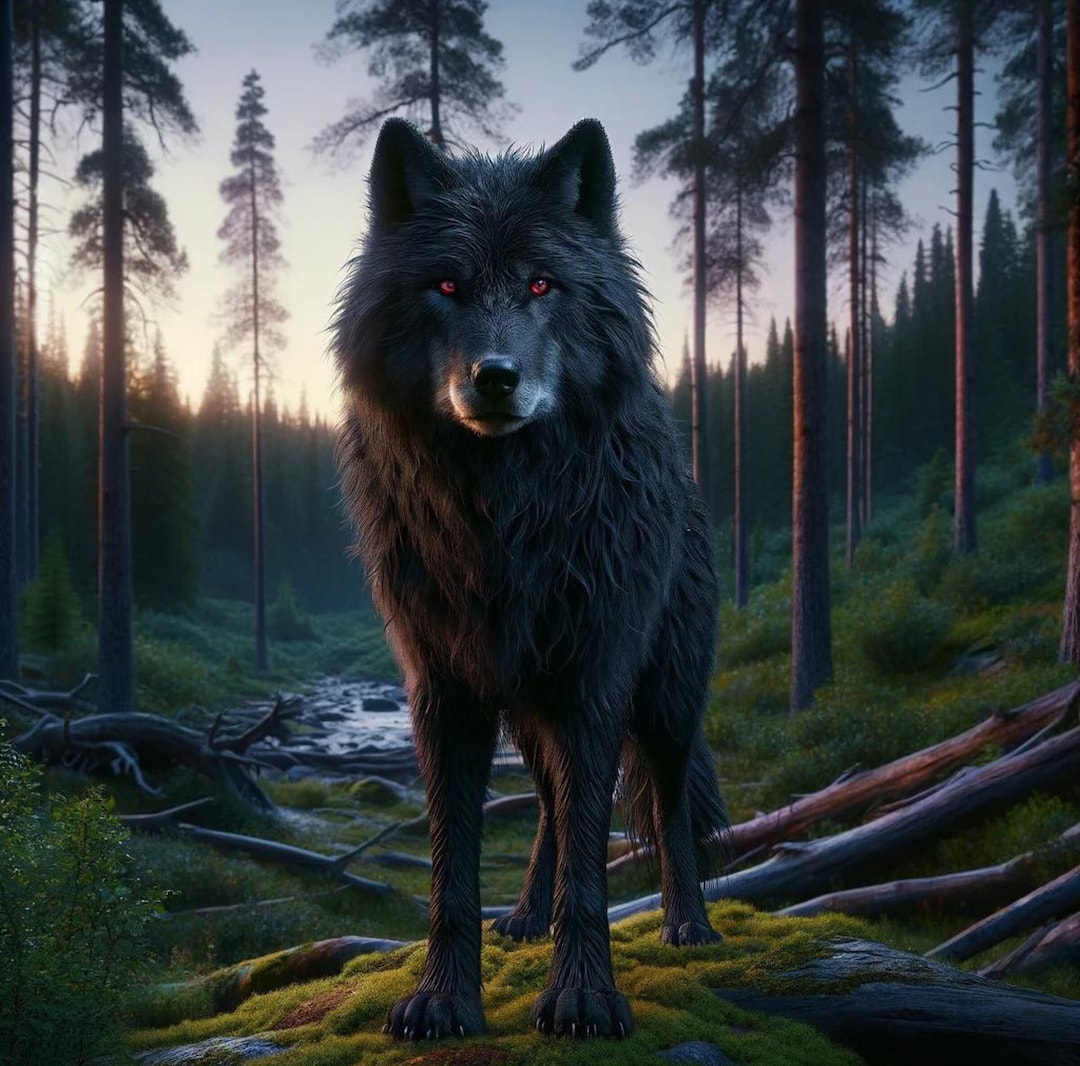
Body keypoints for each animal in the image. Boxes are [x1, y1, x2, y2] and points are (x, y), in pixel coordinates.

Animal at [333, 117, 727, 1041]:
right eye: (446, 285)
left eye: (543, 284)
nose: (495, 376)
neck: (500, 517)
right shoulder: (442, 688)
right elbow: (451, 867)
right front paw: (444, 999)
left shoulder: (594, 679)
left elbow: (592, 857)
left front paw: (583, 997)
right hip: (527, 709)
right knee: (548, 806)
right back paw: (520, 916)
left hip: (664, 697)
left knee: (666, 804)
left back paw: (688, 924)